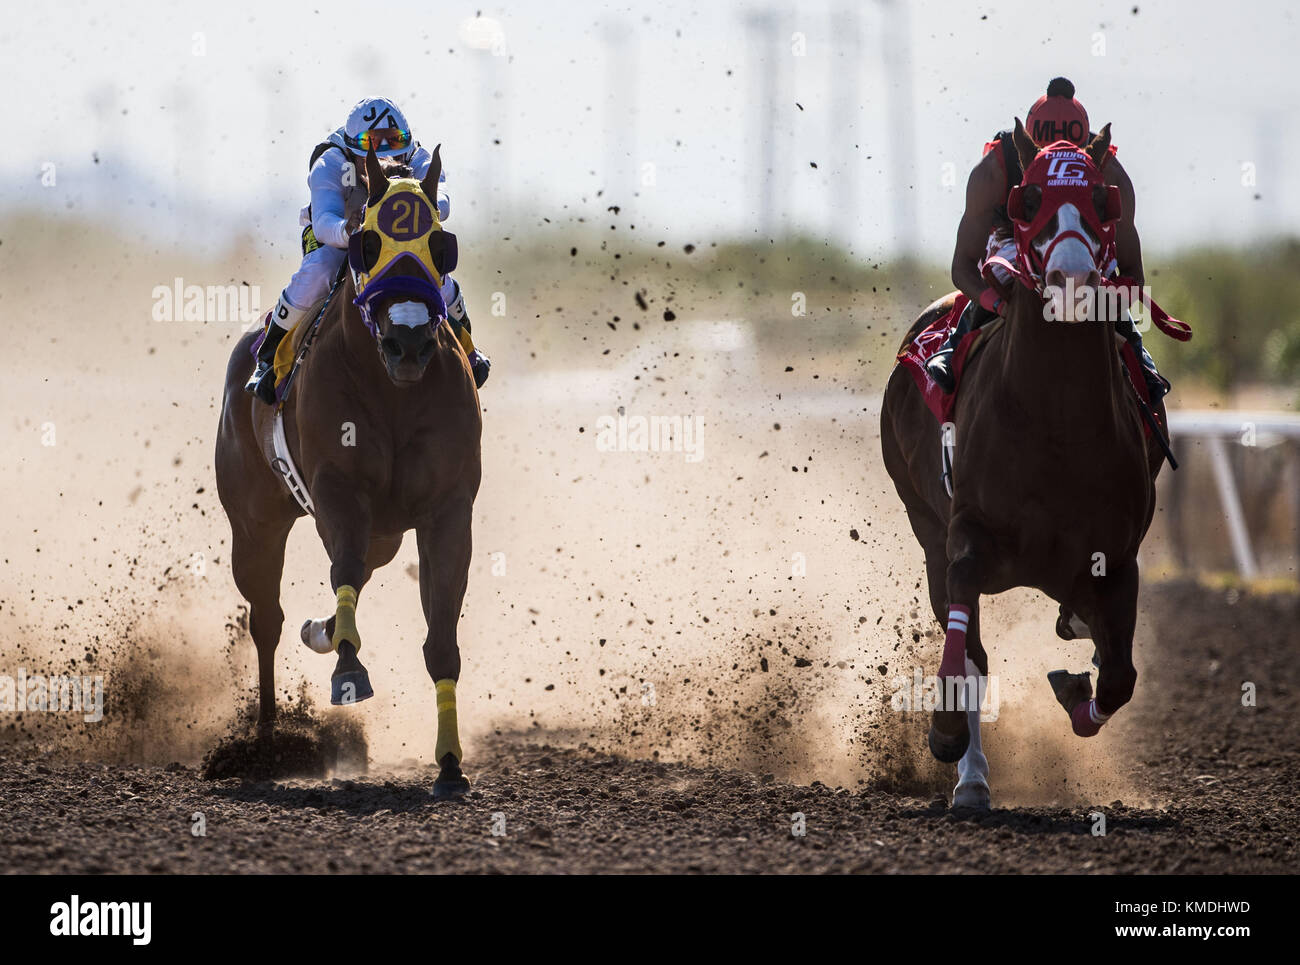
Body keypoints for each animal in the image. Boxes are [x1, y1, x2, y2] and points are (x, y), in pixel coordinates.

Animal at [215, 145, 482, 798]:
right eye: (367, 241)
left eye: (440, 245)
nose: (409, 341)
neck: (394, 391)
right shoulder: (338, 490)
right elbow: (343, 574)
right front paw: (348, 669)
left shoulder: (447, 509)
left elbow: (441, 632)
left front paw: (449, 763)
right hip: (255, 523)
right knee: (268, 618)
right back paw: (268, 741)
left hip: (386, 532)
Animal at [880, 120, 1176, 808]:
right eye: (1028, 198)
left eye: (1102, 201)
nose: (1071, 279)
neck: (1056, 421)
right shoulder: (966, 534)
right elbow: (967, 648)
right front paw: (945, 736)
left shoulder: (1118, 558)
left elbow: (1118, 678)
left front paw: (1074, 688)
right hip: (922, 521)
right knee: (974, 648)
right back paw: (972, 777)